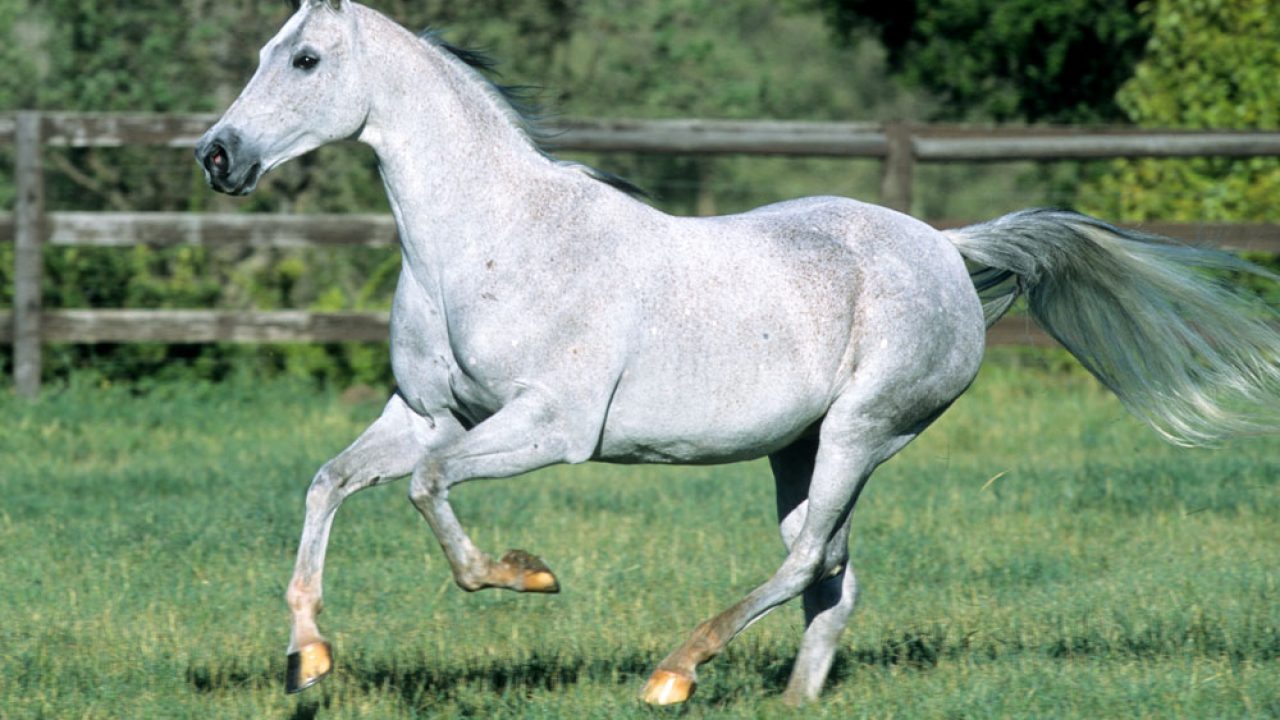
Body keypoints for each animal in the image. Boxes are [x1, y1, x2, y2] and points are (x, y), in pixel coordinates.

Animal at [196, 0, 1280, 705]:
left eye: (303, 62)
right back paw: (786, 697)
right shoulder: (425, 414)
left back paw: (675, 671)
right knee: (834, 577)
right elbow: (330, 484)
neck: (493, 239)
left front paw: (527, 577)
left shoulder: (546, 427)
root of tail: (945, 245)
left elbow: (428, 493)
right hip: (798, 448)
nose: (217, 156)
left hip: (861, 433)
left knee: (805, 562)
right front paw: (307, 657)